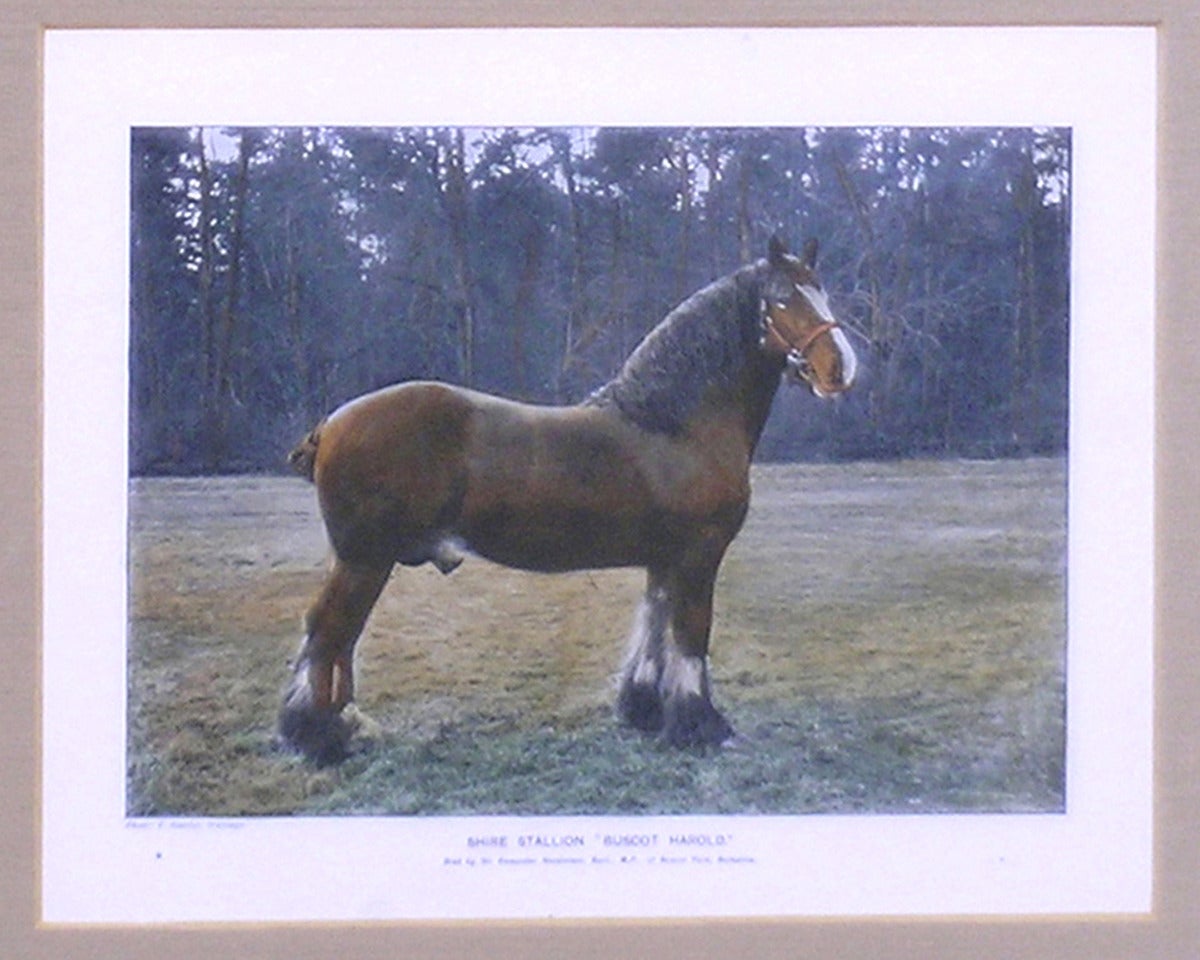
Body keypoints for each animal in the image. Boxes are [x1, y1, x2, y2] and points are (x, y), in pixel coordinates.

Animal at [280, 236, 857, 764]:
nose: (840, 369)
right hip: (364, 560)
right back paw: (318, 736)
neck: (672, 424)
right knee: (328, 632)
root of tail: (331, 424)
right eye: (782, 299)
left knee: (334, 638)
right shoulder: (698, 556)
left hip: (359, 561)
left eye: (822, 293)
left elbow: (654, 626)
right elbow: (691, 636)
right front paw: (702, 725)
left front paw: (644, 709)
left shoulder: (665, 560)